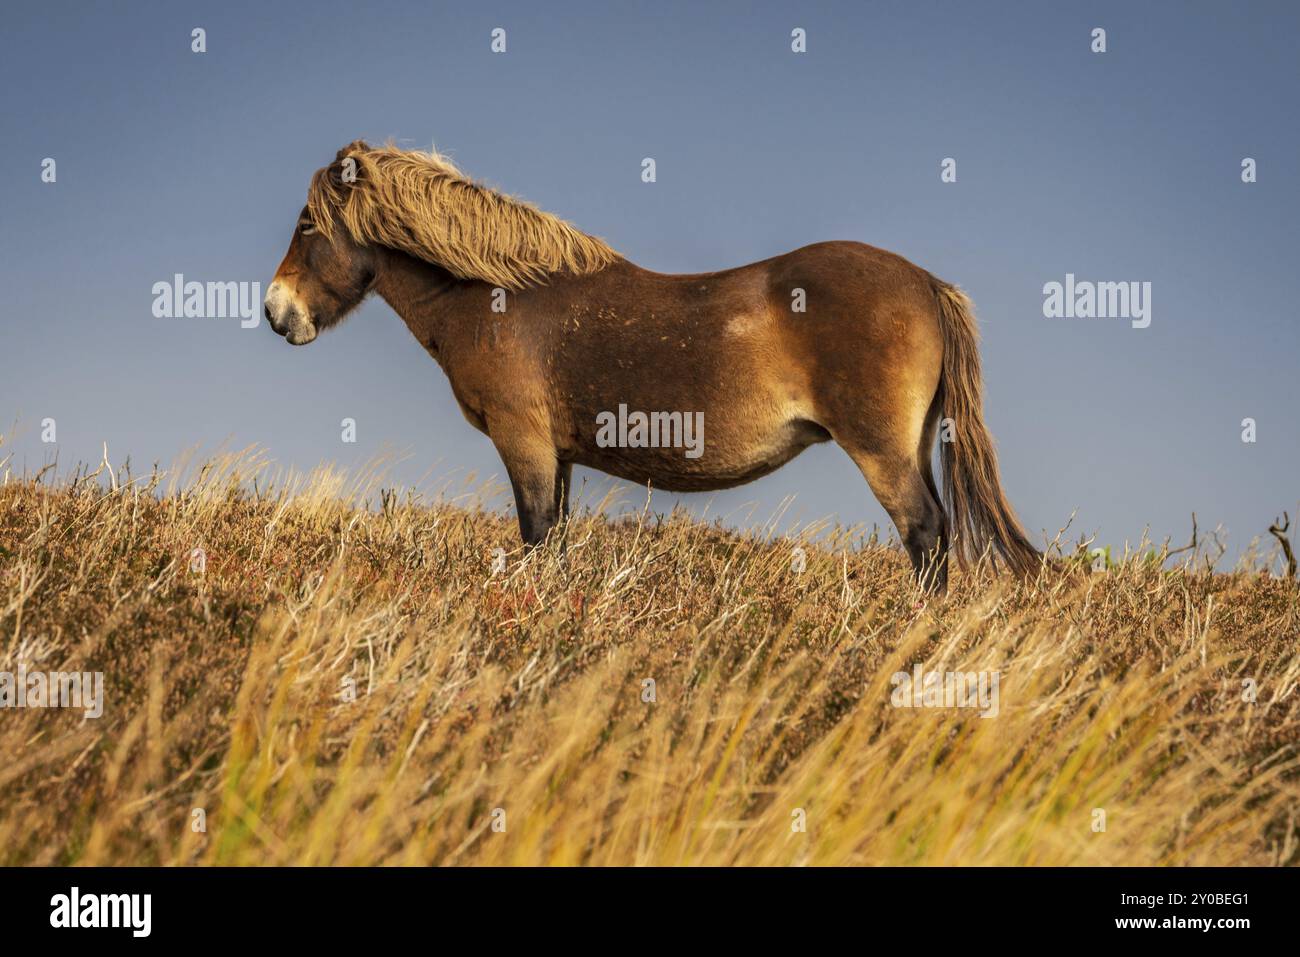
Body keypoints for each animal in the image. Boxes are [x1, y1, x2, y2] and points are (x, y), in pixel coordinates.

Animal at [263, 141, 1040, 591]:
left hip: (880, 449)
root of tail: (924, 282)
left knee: (924, 532)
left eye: (306, 224)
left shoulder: (524, 444)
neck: (497, 291)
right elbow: (555, 541)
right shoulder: (557, 455)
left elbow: (535, 538)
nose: (275, 311)